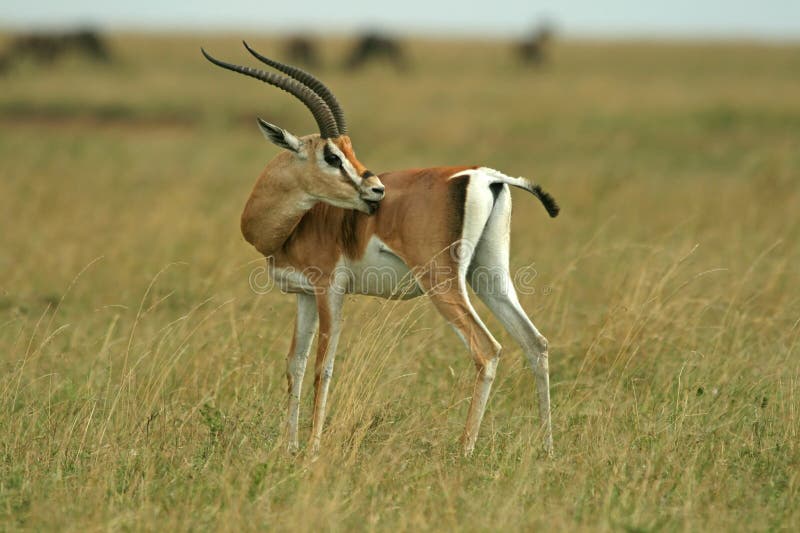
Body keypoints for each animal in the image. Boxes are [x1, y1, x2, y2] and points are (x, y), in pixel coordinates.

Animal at [202, 42, 560, 456]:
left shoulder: (329, 290)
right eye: (333, 154)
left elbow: (323, 366)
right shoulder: (304, 295)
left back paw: (464, 451)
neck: (293, 224)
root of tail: (487, 176)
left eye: (345, 151)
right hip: (489, 277)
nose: (376, 189)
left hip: (442, 283)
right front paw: (289, 447)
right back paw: (547, 448)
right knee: (535, 343)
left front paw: (312, 448)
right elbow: (296, 363)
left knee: (486, 350)